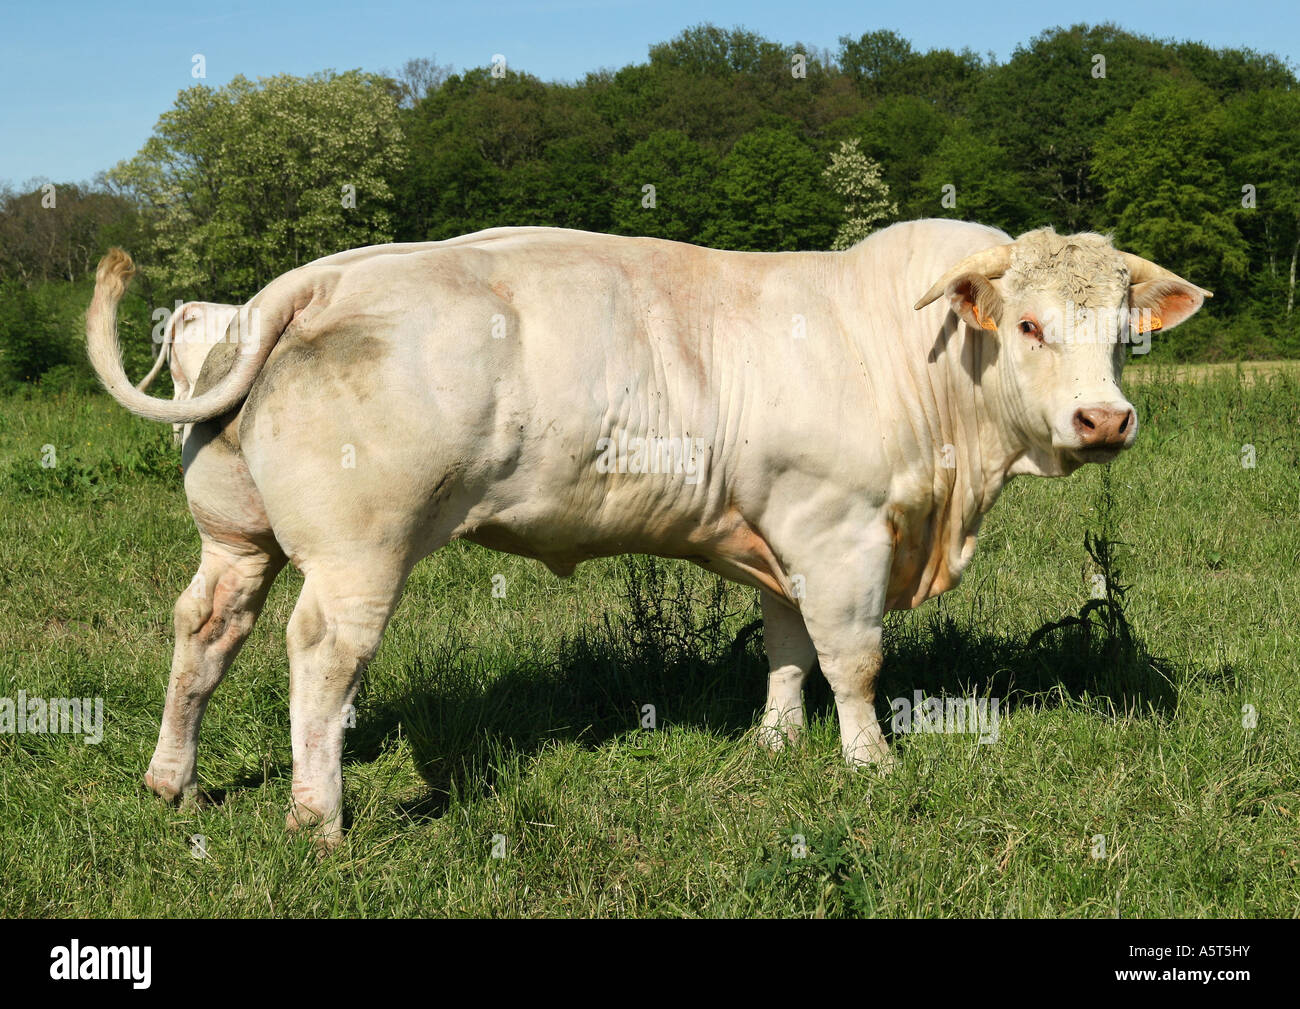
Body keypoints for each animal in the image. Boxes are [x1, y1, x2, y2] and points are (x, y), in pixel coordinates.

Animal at [85, 219, 1210, 846]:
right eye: (1027, 325)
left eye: (1124, 334)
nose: (1104, 419)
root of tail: (319, 277)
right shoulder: (838, 528)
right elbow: (852, 656)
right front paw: (870, 763)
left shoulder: (779, 532)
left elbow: (786, 645)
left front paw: (773, 740)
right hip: (359, 553)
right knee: (321, 657)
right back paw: (318, 817)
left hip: (238, 534)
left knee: (206, 630)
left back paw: (172, 782)